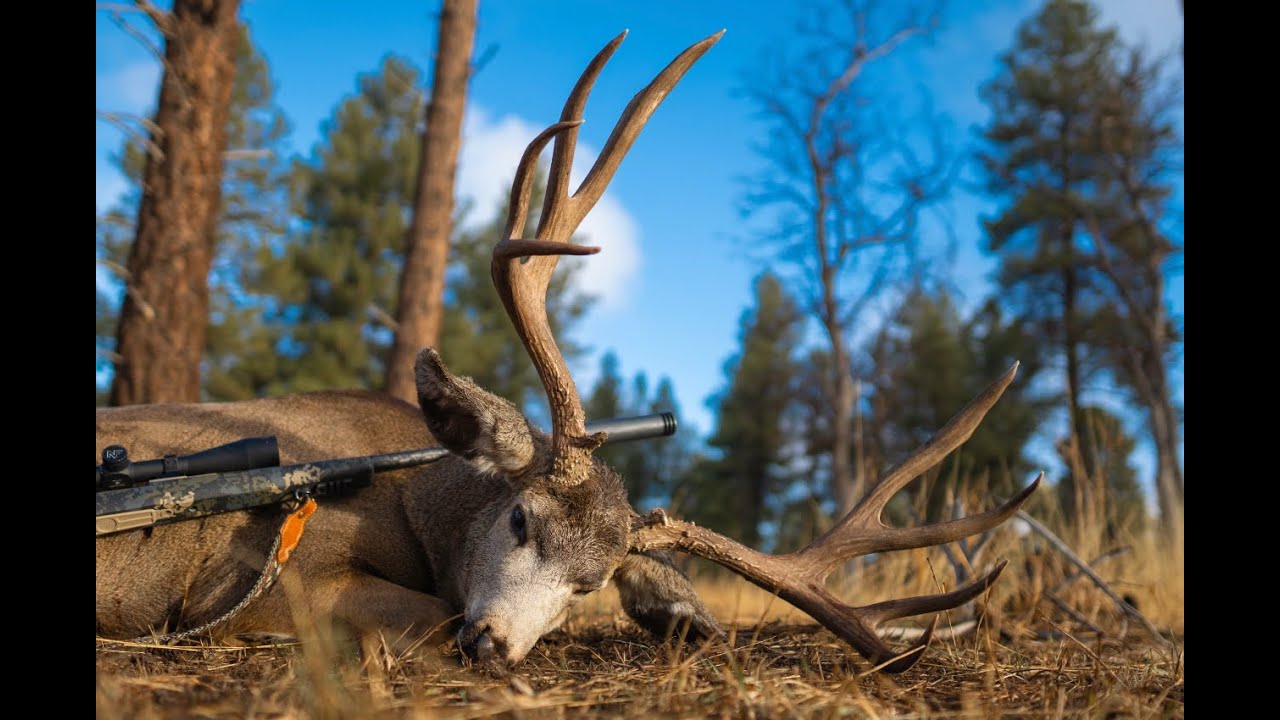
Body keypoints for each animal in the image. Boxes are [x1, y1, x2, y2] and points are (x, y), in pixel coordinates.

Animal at [95, 30, 1040, 674]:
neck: (412, 499)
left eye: (588, 586)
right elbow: (421, 614)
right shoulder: (282, 581)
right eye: (521, 518)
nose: (493, 643)